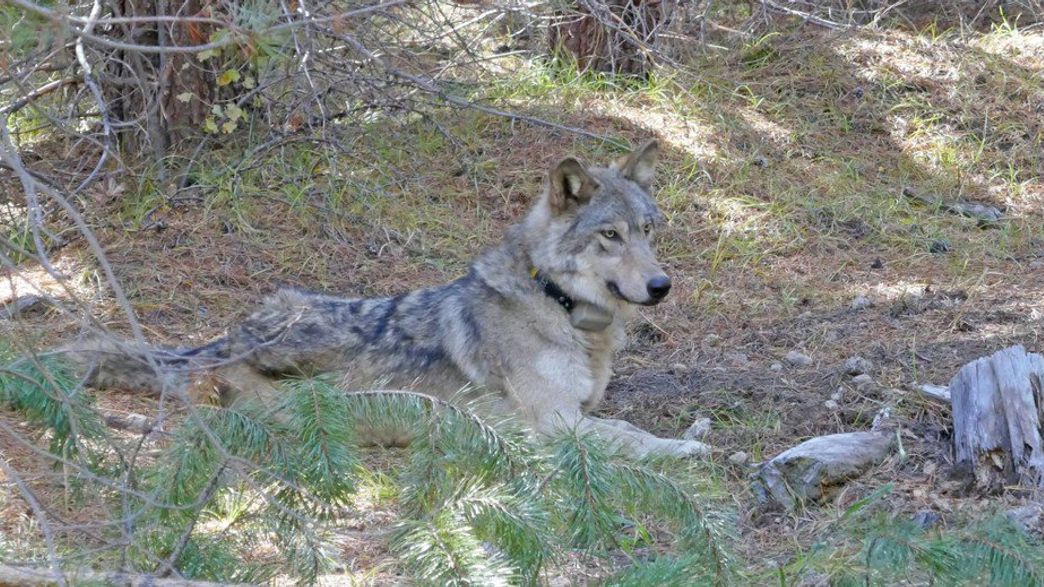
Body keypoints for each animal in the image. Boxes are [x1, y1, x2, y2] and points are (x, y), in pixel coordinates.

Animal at [75, 140, 709, 458]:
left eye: (648, 230)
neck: (558, 306)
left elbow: (623, 423)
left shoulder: (578, 410)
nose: (662, 286)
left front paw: (694, 431)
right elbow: (631, 437)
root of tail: (220, 341)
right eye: (610, 236)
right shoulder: (554, 423)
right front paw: (684, 448)